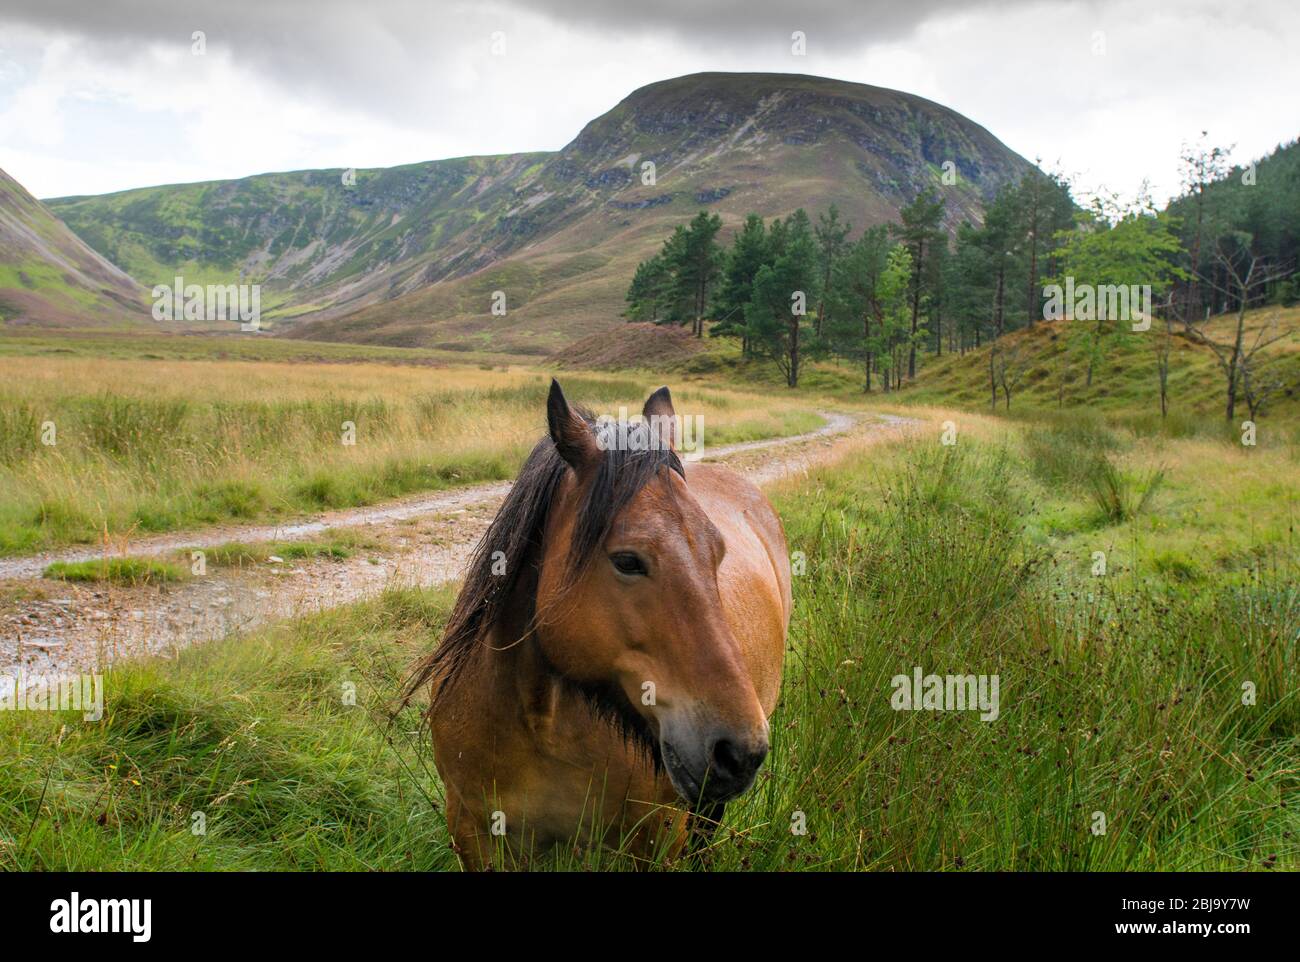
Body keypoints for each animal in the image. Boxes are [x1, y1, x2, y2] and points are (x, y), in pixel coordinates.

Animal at [408, 380, 791, 869]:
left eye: (718, 553)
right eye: (627, 560)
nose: (740, 751)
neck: (540, 723)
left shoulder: (656, 838)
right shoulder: (474, 833)